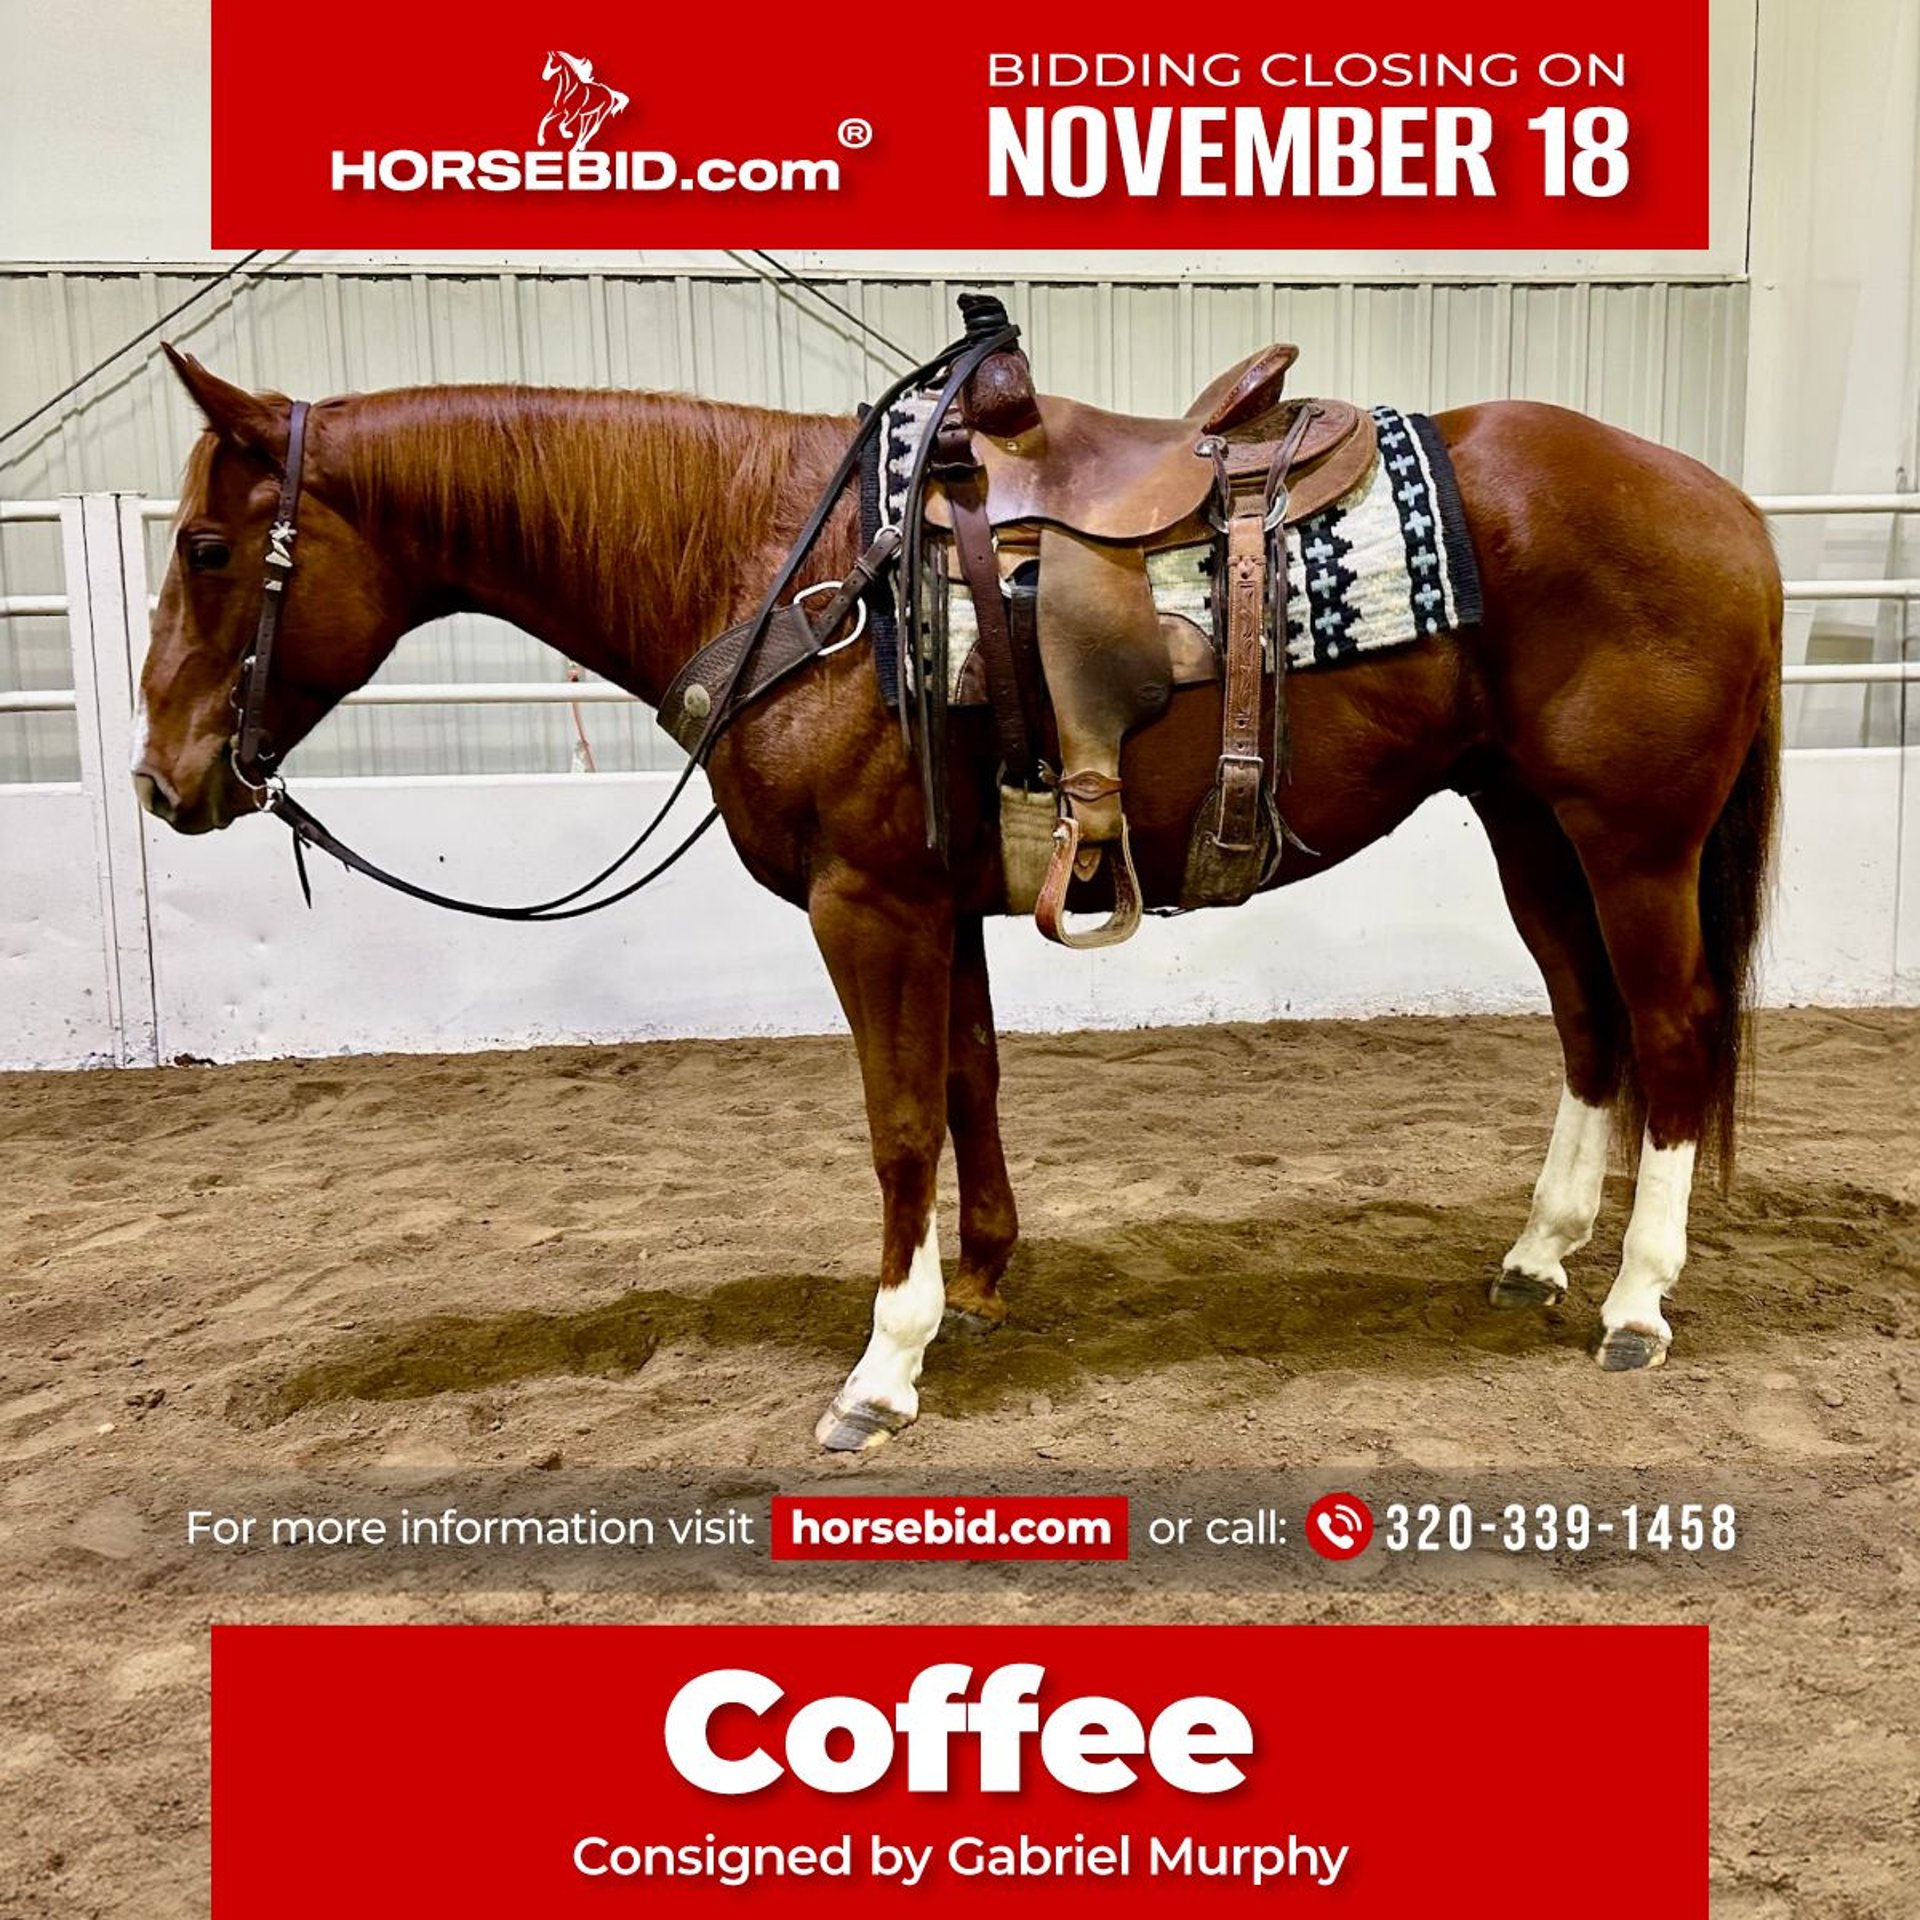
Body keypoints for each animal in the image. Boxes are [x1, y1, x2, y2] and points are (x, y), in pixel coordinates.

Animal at [133, 343, 1782, 1452]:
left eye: (208, 546)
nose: (163, 780)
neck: (791, 564)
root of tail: (1731, 508)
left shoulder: (867, 905)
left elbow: (897, 1121)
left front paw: (885, 1364)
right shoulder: (946, 896)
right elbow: (971, 1080)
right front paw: (982, 1283)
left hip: (1631, 840)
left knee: (1671, 1033)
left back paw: (1636, 1303)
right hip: (1527, 826)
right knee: (1590, 1029)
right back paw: (1537, 1255)